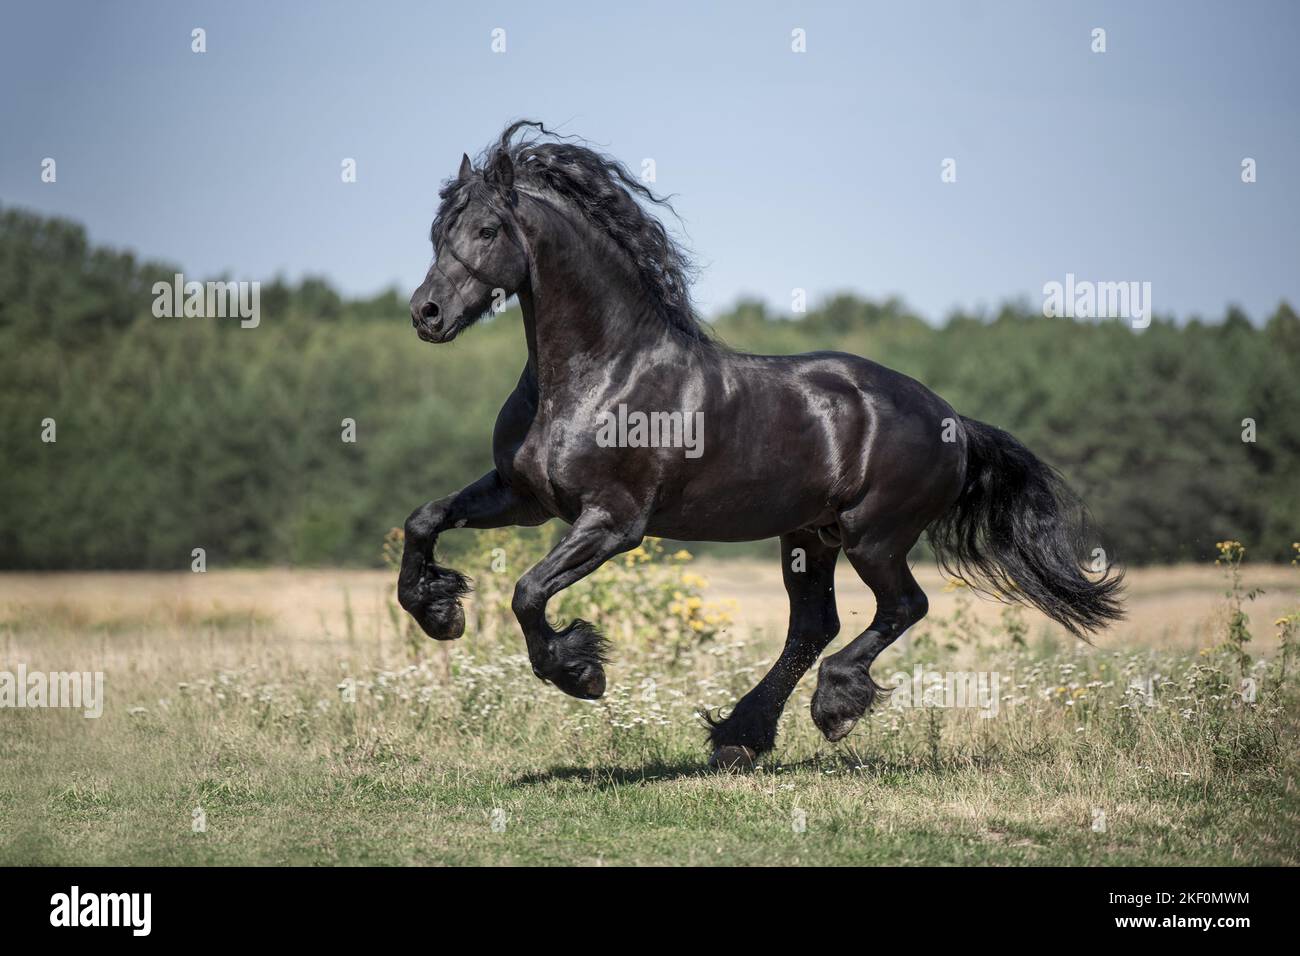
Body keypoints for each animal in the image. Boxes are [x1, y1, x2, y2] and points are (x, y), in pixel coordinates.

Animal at [399, 120, 1124, 769]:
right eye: (439, 231)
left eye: (487, 230)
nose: (425, 315)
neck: (598, 374)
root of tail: (953, 420)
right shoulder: (522, 497)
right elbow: (424, 520)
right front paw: (438, 612)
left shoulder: (612, 522)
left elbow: (527, 591)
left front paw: (580, 673)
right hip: (809, 535)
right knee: (814, 626)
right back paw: (740, 737)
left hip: (875, 536)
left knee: (901, 607)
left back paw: (833, 707)